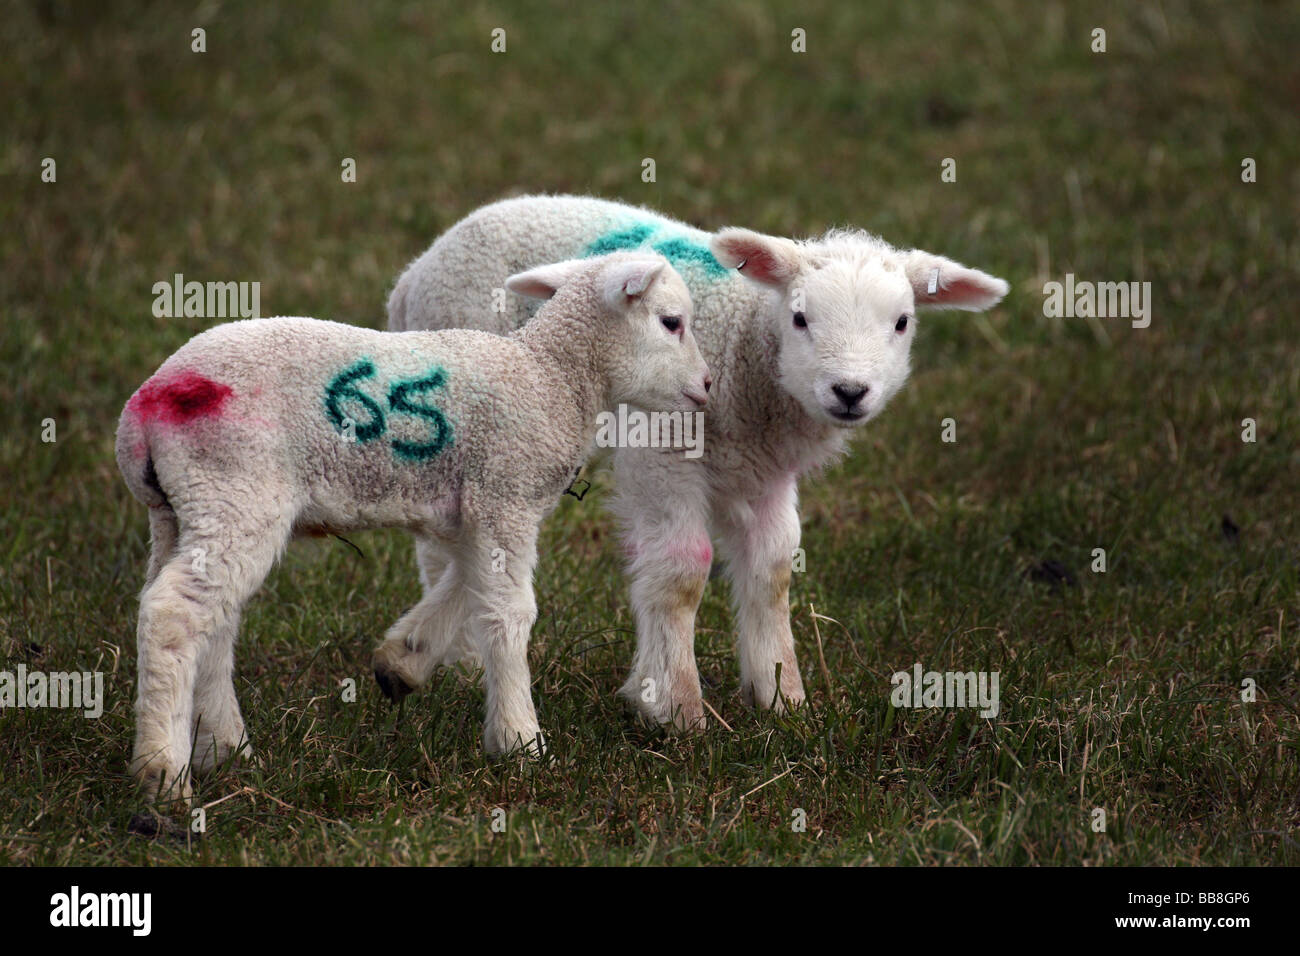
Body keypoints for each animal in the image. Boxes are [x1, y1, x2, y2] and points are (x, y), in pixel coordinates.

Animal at [115, 251, 711, 801]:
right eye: (671, 322)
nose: (707, 385)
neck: (550, 376)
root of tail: (151, 399)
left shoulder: (476, 507)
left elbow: (466, 585)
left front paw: (403, 661)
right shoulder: (505, 493)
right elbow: (509, 612)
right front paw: (520, 743)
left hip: (182, 510)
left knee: (206, 617)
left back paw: (224, 749)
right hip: (236, 487)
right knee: (174, 613)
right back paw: (163, 773)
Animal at [383, 195, 1010, 730]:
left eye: (902, 323)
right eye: (800, 318)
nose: (850, 391)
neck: (748, 353)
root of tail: (414, 272)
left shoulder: (764, 469)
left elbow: (774, 567)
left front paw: (782, 698)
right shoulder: (660, 449)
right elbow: (684, 569)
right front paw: (674, 707)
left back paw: (414, 653)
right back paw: (463, 664)